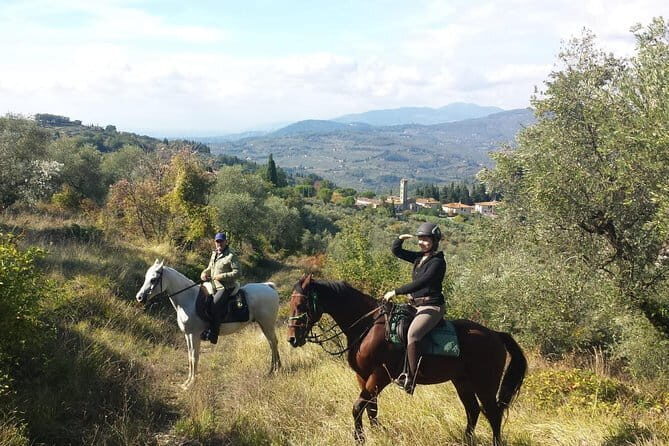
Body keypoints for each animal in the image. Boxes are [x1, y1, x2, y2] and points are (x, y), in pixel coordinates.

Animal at [136, 260, 281, 389]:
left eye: (153, 279)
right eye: (146, 277)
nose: (139, 297)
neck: (189, 299)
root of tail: (269, 286)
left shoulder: (194, 335)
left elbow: (194, 357)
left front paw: (191, 383)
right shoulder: (188, 335)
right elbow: (190, 357)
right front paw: (187, 382)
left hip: (267, 324)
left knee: (273, 342)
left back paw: (276, 370)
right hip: (264, 324)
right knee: (271, 343)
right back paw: (272, 370)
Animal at [287, 274, 527, 445]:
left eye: (302, 305)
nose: (292, 338)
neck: (369, 327)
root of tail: (495, 335)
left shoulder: (380, 375)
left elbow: (357, 407)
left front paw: (361, 438)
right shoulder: (363, 376)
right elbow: (370, 408)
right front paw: (377, 434)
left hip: (484, 383)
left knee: (493, 413)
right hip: (462, 382)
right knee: (473, 411)